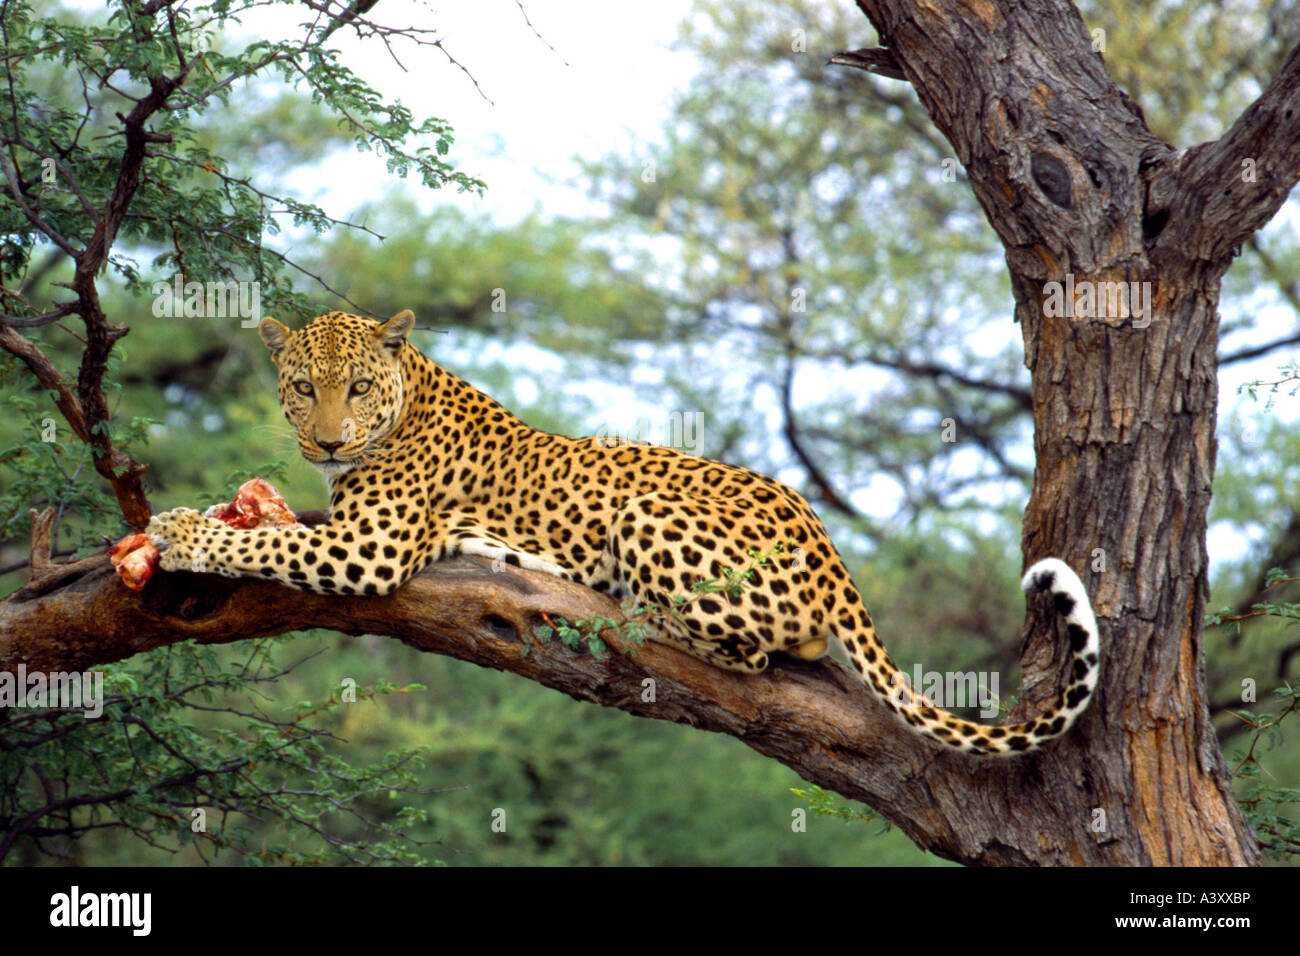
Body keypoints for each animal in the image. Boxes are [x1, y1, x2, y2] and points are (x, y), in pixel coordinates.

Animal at [146, 309, 1100, 755]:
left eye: (354, 387)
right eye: (303, 387)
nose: (327, 441)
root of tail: (834, 557)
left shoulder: (367, 547)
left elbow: (268, 545)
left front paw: (184, 531)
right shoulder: (343, 519)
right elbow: (281, 523)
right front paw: (211, 508)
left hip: (649, 517)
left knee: (756, 653)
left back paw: (638, 617)